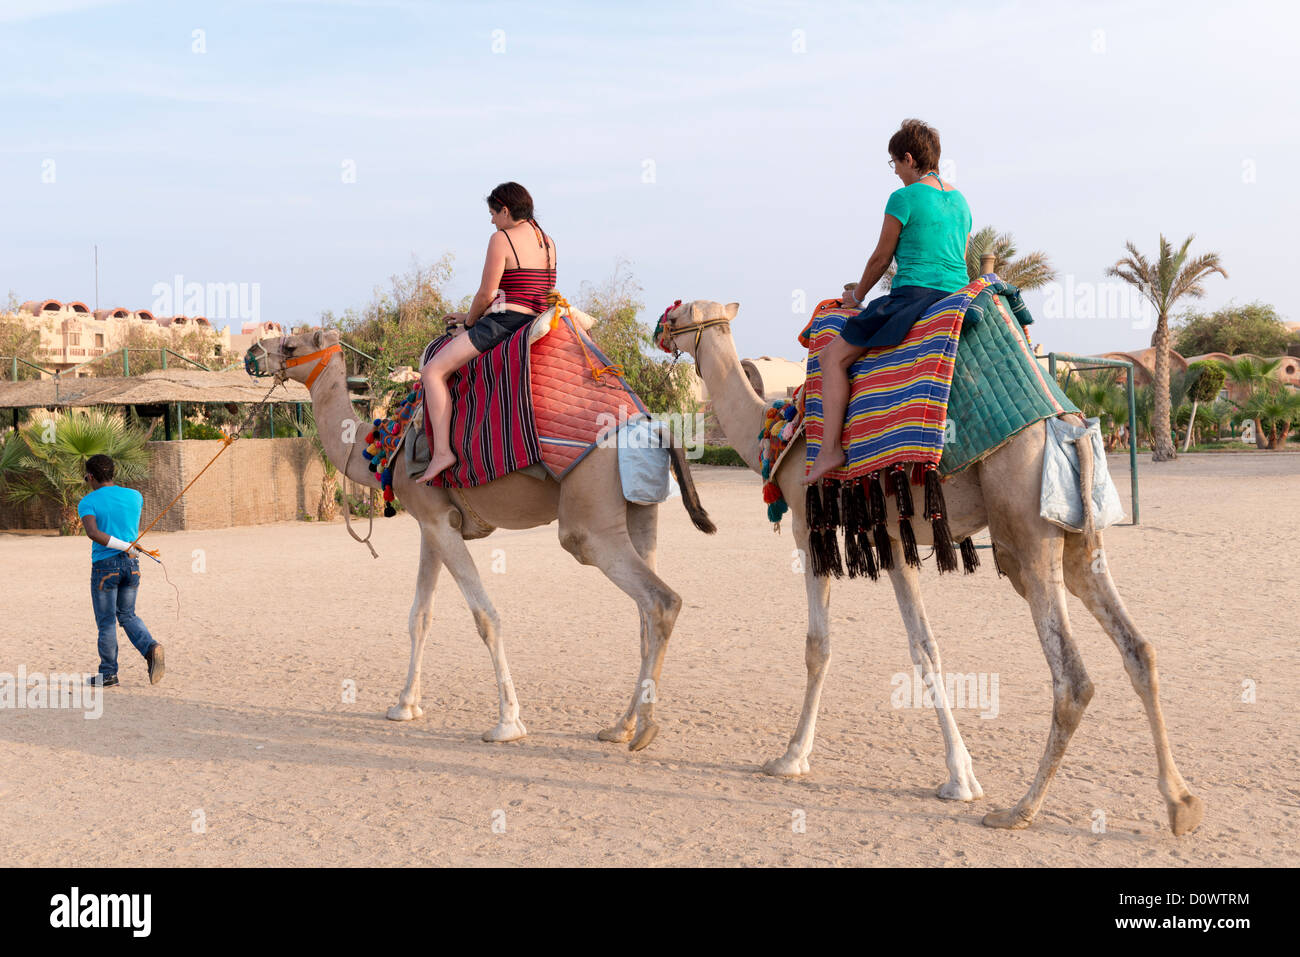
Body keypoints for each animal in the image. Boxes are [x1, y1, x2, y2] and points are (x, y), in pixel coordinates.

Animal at [248, 327, 716, 751]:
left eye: (290, 344)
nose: (253, 353)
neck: (383, 448)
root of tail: (658, 430)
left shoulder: (436, 520)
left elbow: (485, 617)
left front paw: (508, 722)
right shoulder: (434, 524)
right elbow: (420, 615)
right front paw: (404, 705)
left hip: (589, 523)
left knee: (659, 600)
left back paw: (644, 729)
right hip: (640, 514)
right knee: (645, 616)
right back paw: (620, 726)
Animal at [659, 299, 1204, 835]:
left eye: (680, 312)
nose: (658, 330)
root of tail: (1072, 430)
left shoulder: (806, 524)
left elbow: (819, 646)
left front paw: (790, 758)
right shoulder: (893, 538)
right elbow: (926, 647)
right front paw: (961, 777)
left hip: (1024, 534)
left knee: (1072, 677)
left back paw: (1019, 811)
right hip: (1080, 541)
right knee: (1139, 648)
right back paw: (1180, 804)